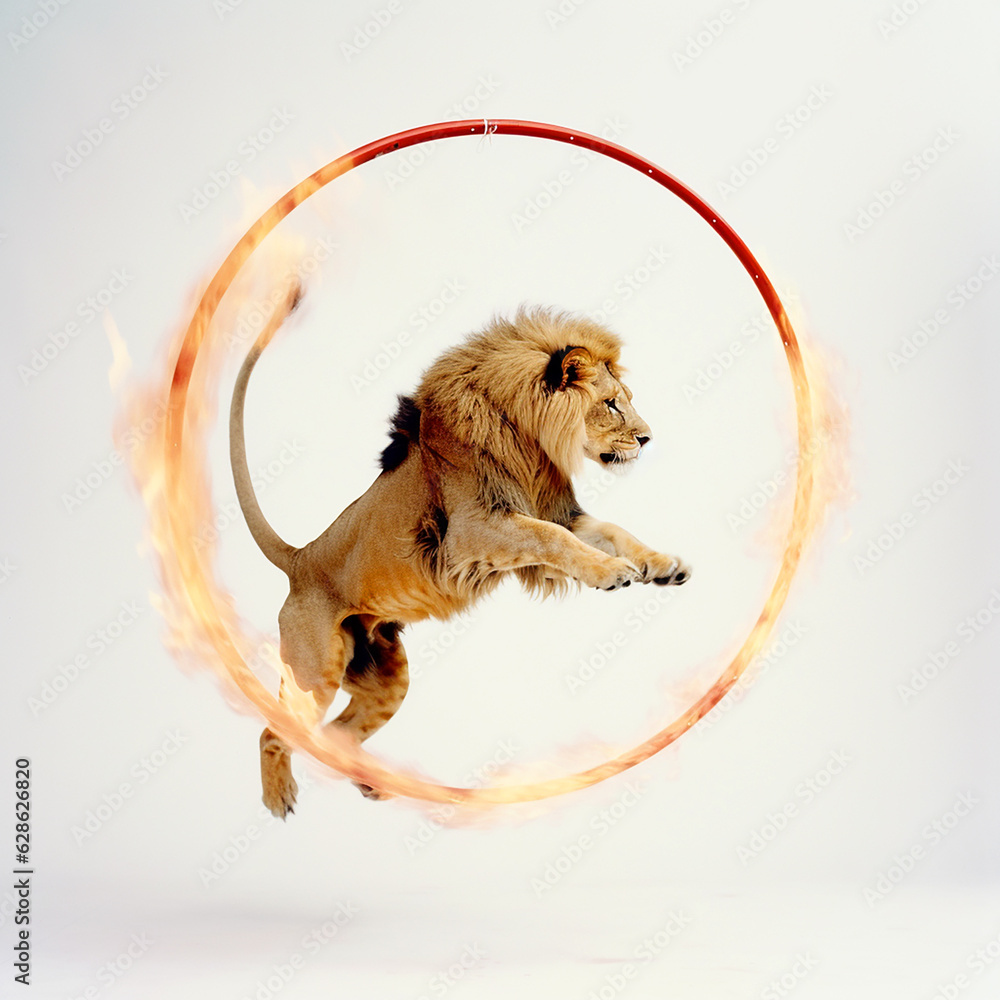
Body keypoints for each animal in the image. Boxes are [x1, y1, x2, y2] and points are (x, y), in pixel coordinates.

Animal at [230, 283, 690, 817]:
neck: (531, 442)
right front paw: (613, 574)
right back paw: (277, 796)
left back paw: (370, 784)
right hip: (314, 674)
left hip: (387, 677)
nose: (647, 439)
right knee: (274, 731)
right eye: (613, 404)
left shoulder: (556, 509)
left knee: (335, 736)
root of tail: (300, 559)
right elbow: (552, 540)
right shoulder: (473, 531)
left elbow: (612, 532)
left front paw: (663, 566)